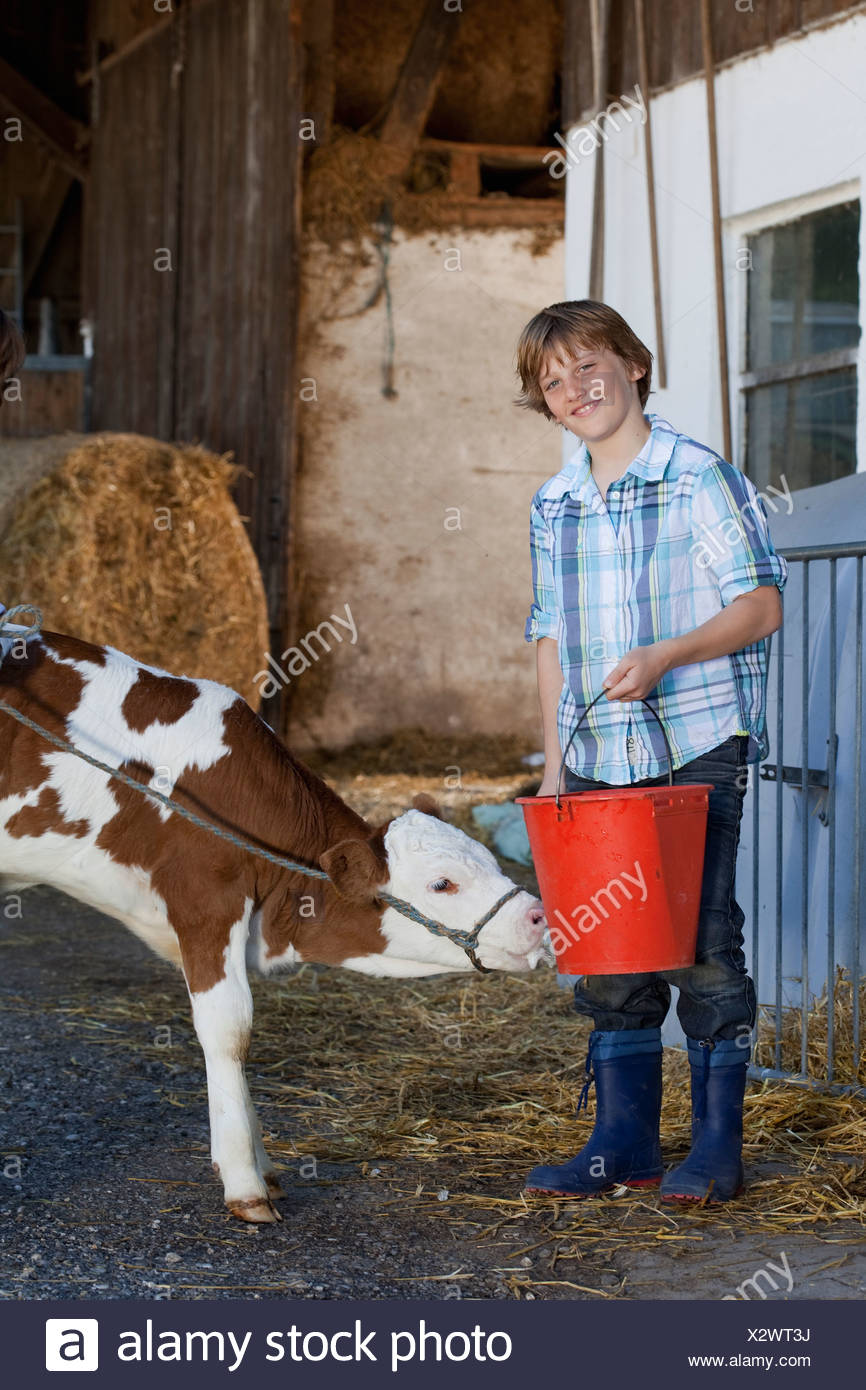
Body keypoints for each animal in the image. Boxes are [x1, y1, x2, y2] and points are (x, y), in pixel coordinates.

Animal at [0, 622, 548, 1222]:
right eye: (441, 883)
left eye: (490, 860)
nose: (537, 915)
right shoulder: (206, 903)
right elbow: (230, 1030)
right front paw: (244, 1183)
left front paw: (260, 1164)